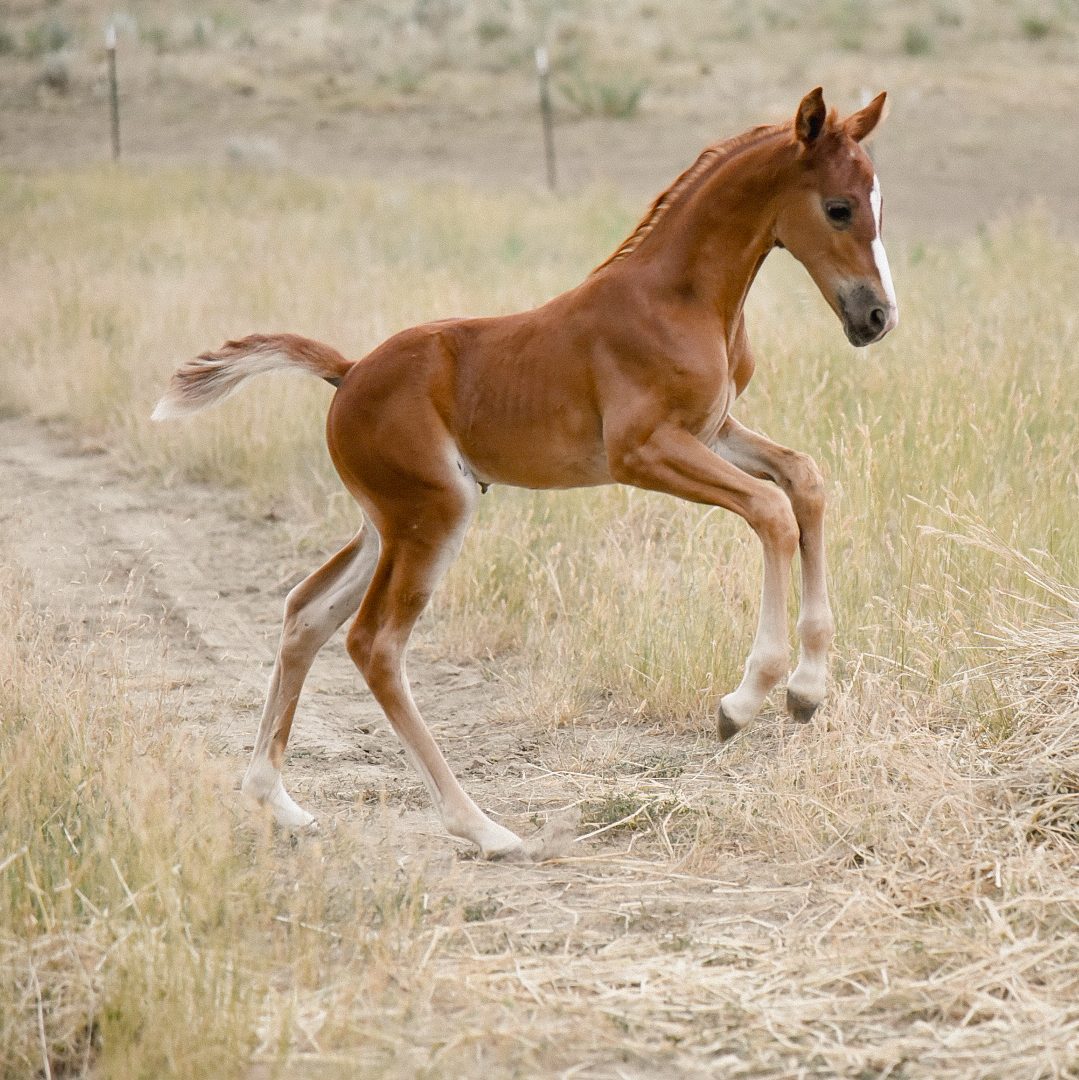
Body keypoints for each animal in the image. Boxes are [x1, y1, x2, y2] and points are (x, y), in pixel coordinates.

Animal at [153, 88, 898, 859]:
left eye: (879, 200)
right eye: (838, 207)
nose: (876, 316)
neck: (683, 298)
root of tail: (349, 372)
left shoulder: (713, 432)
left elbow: (804, 480)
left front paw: (807, 692)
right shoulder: (642, 452)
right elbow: (770, 513)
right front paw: (743, 702)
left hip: (385, 523)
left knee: (306, 613)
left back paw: (276, 800)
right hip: (435, 516)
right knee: (373, 642)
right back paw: (481, 827)